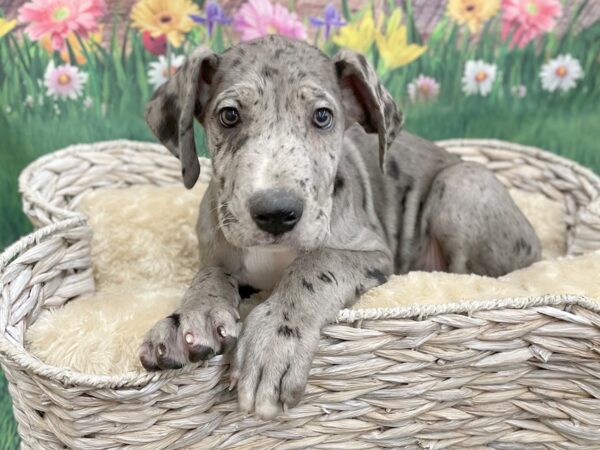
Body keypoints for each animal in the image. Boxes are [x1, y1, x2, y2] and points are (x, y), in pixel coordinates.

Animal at [138, 35, 540, 418]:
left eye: (321, 117)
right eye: (229, 115)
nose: (276, 212)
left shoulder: (372, 252)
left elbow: (315, 265)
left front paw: (275, 337)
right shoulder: (219, 251)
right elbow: (210, 274)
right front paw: (190, 317)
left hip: (461, 185)